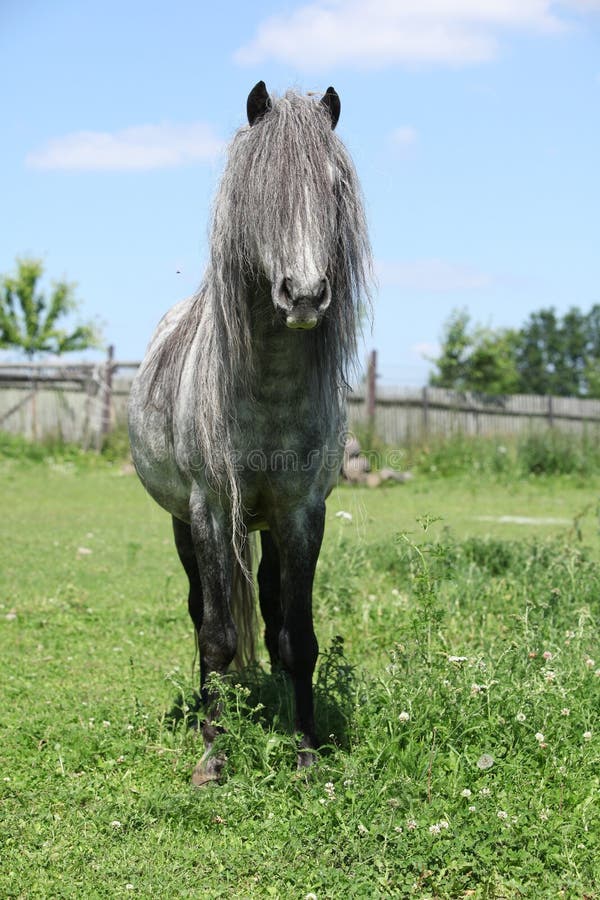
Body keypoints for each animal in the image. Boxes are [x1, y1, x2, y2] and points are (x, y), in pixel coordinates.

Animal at [128, 81, 372, 783]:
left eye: (332, 188)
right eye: (263, 192)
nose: (306, 296)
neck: (268, 388)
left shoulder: (301, 514)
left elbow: (298, 636)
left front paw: (306, 751)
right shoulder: (210, 510)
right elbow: (216, 635)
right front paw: (212, 759)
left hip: (263, 526)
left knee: (266, 609)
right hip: (184, 523)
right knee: (200, 612)